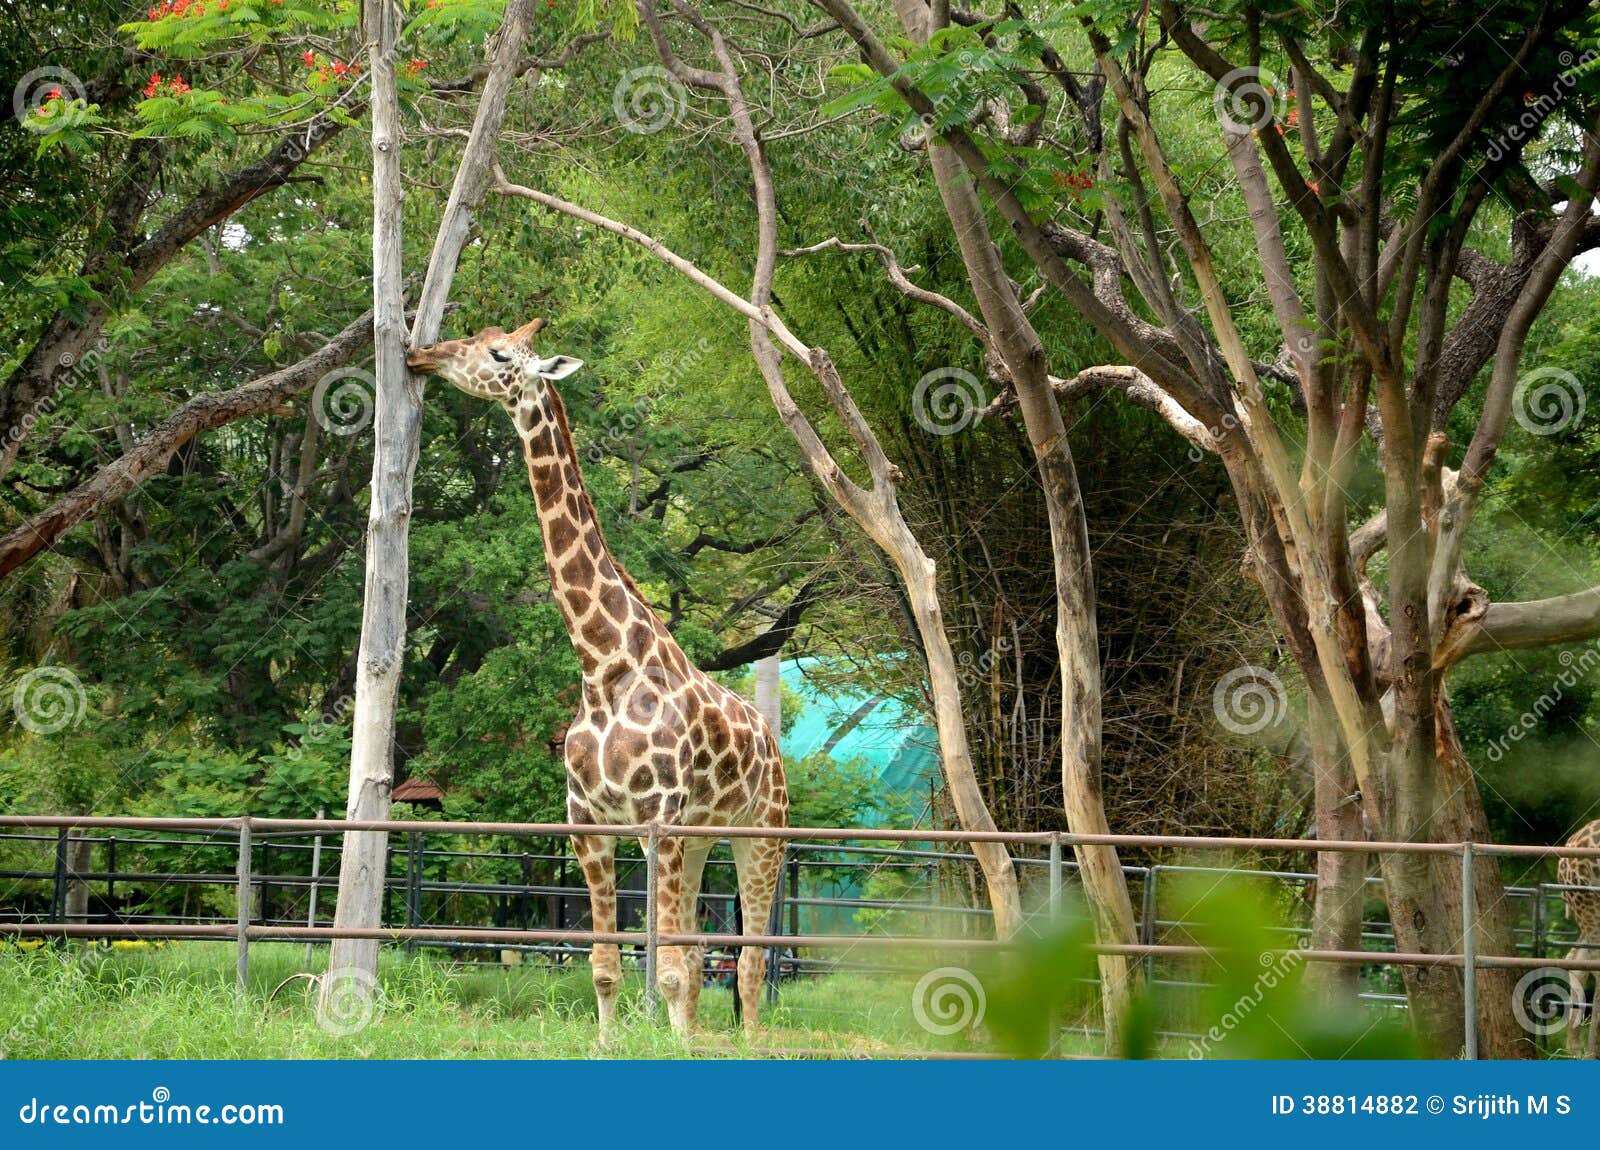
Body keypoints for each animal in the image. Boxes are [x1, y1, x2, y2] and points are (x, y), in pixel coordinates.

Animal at [406, 319, 788, 1040]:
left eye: (499, 352)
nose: (423, 354)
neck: (602, 666)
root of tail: (772, 740)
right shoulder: (588, 820)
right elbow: (610, 966)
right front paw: (621, 1043)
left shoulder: (658, 816)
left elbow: (666, 970)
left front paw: (673, 1047)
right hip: (702, 838)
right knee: (701, 952)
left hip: (762, 832)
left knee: (751, 959)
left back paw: (750, 1043)